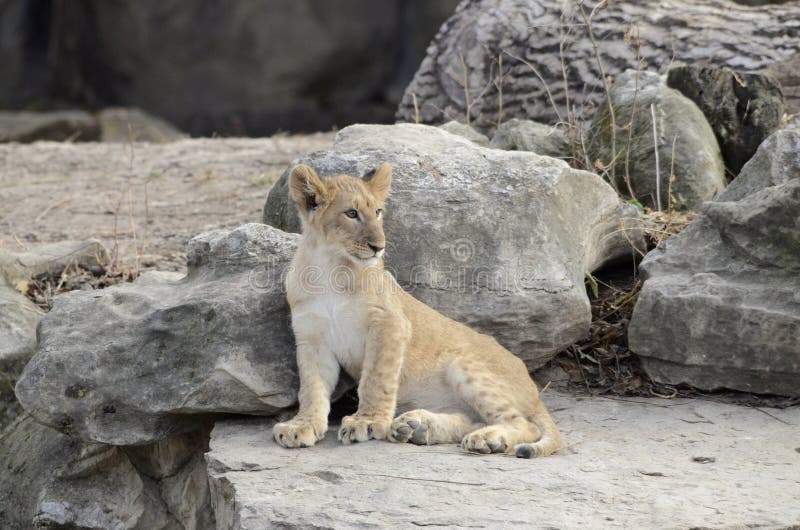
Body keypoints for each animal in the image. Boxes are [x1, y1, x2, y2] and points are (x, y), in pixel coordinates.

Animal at [272, 162, 561, 458]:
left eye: (378, 212)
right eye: (351, 213)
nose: (379, 247)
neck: (330, 267)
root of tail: (534, 390)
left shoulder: (390, 323)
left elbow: (376, 378)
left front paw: (368, 422)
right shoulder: (312, 338)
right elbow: (312, 388)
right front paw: (301, 426)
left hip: (465, 364)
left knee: (524, 424)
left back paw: (485, 439)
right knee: (471, 419)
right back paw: (418, 428)